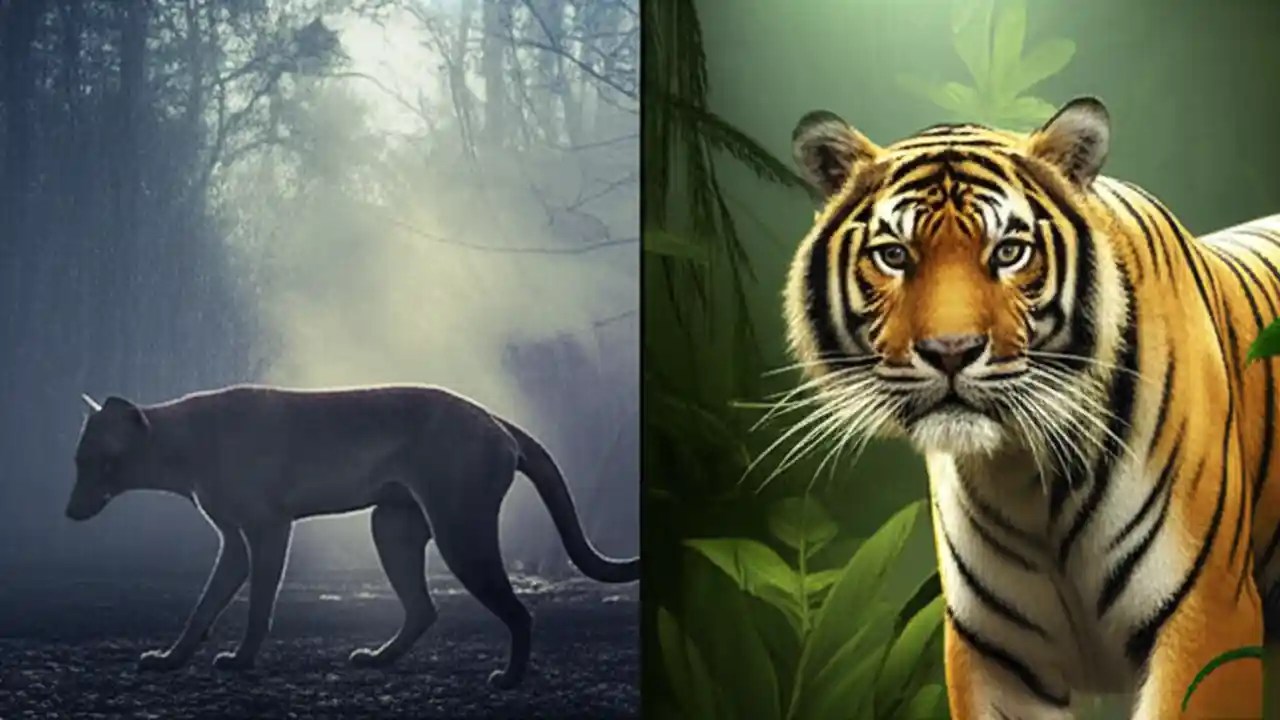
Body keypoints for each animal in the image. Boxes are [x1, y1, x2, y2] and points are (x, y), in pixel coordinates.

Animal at [782, 96, 1280, 719]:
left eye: (1009, 252)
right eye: (894, 255)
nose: (951, 351)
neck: (1026, 474)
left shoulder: (1209, 618)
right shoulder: (996, 658)